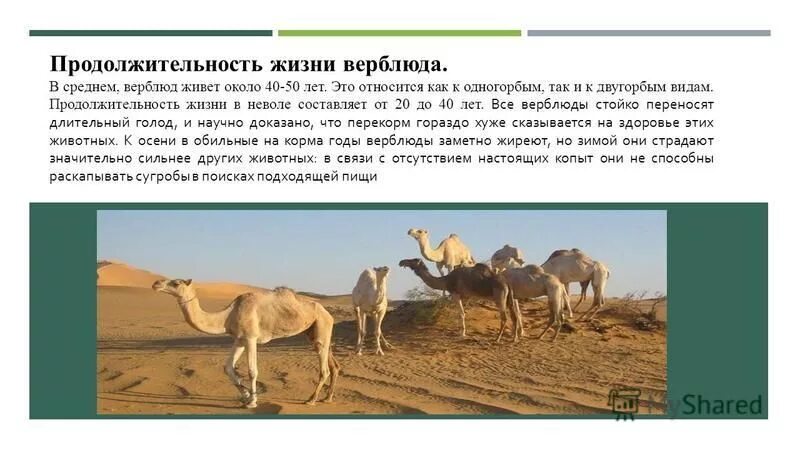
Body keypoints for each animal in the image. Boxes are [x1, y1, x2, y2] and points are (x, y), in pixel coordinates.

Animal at [152, 279, 340, 408]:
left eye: (176, 283)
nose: (156, 283)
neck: (228, 315)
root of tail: (328, 314)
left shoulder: (251, 338)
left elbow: (252, 371)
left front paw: (252, 401)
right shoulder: (239, 339)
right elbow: (228, 368)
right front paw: (245, 394)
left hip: (321, 326)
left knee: (324, 369)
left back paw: (311, 400)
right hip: (315, 332)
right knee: (333, 364)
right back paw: (327, 398)